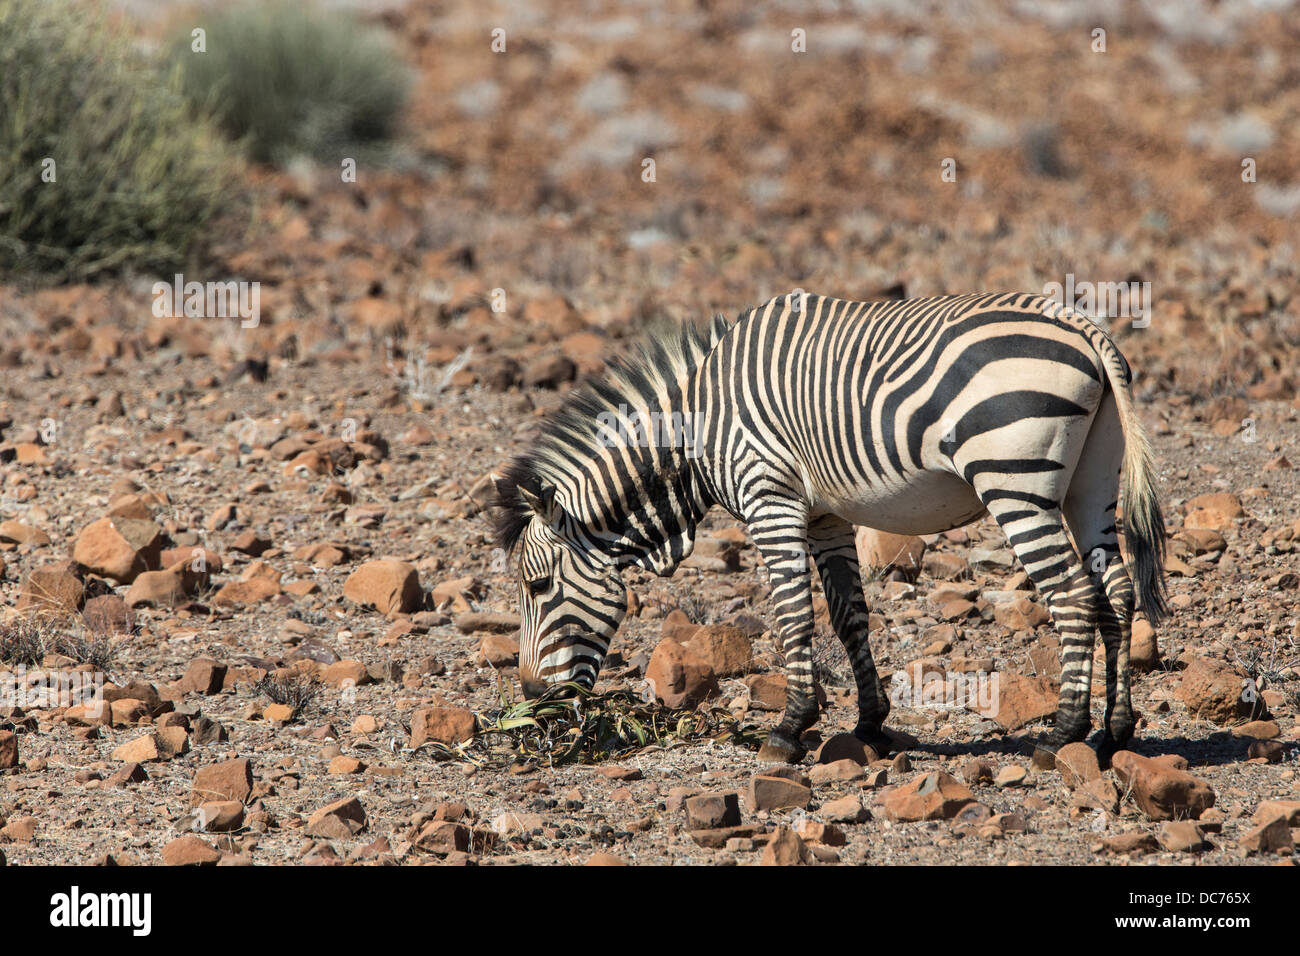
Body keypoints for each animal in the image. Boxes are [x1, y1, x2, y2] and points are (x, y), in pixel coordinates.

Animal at [491, 292, 1168, 765]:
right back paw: (1114, 733)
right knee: (1115, 592)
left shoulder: (771, 499)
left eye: (538, 586)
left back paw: (1063, 734)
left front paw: (790, 728)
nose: (530, 698)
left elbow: (794, 615)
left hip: (1015, 482)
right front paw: (869, 723)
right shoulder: (826, 515)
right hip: (1090, 482)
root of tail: (1084, 327)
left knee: (1073, 597)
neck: (696, 427)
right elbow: (849, 616)